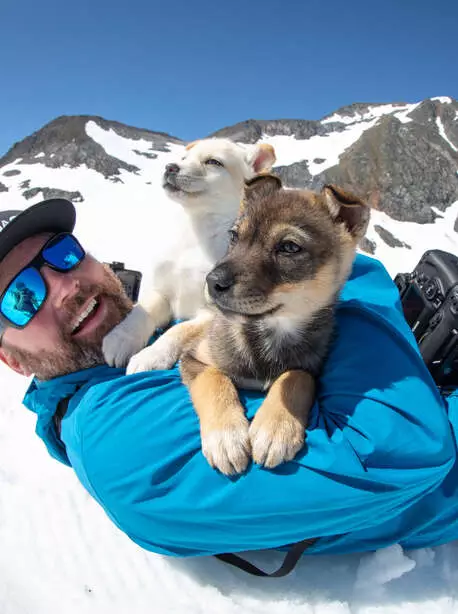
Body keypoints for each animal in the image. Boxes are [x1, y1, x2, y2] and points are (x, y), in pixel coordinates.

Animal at [103, 137, 276, 372]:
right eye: (183, 158)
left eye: (213, 162)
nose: (170, 167)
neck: (195, 234)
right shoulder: (162, 292)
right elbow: (141, 311)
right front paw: (121, 338)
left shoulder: (214, 312)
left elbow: (179, 329)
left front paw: (152, 355)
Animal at [177, 176, 370, 478]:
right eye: (234, 236)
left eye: (289, 247)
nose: (212, 281)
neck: (266, 334)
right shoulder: (195, 358)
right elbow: (213, 380)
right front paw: (226, 437)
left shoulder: (313, 366)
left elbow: (296, 377)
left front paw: (276, 427)